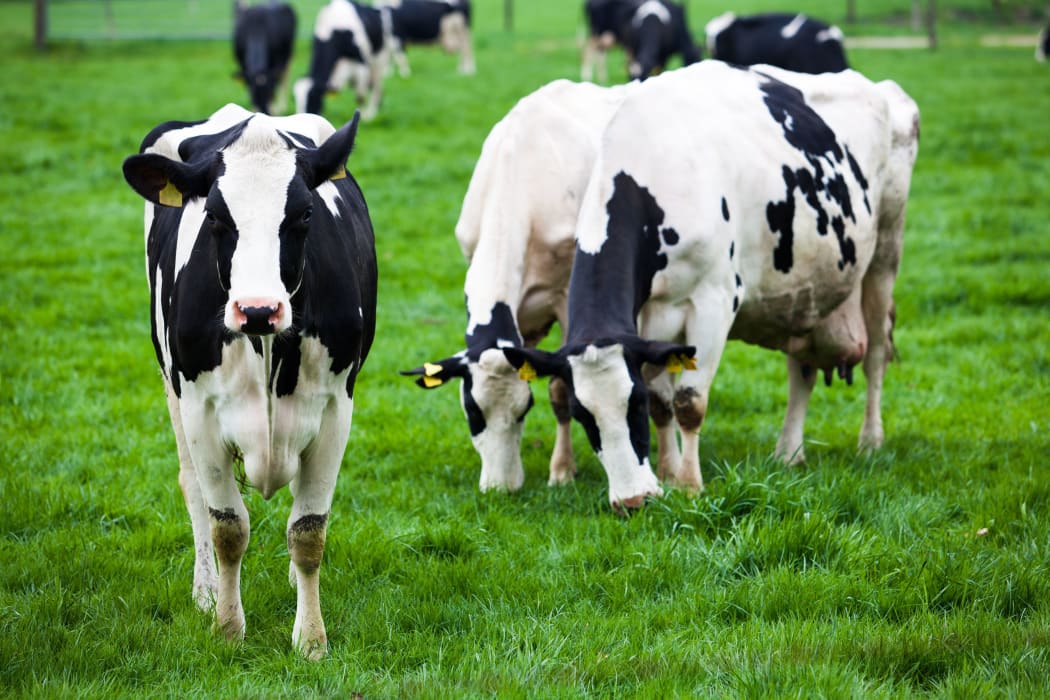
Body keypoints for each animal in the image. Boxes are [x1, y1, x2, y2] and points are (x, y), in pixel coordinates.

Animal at [121, 103, 378, 659]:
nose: (258, 309)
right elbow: (228, 527)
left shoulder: (335, 409)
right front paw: (227, 627)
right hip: (170, 385)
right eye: (216, 217)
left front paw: (311, 639)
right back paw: (204, 590)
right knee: (191, 486)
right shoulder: (199, 410)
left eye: (304, 214)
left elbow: (308, 531)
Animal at [402, 80, 632, 492]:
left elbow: (560, 387)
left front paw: (561, 470)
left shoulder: (565, 298)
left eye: (525, 408)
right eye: (472, 410)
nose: (501, 487)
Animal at [501, 61, 919, 510]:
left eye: (632, 404)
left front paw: (689, 484)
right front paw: (667, 475)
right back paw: (789, 452)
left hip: (885, 251)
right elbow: (664, 402)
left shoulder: (714, 303)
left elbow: (688, 402)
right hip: (805, 294)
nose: (632, 501)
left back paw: (870, 441)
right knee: (802, 372)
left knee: (876, 354)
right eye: (583, 414)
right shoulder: (646, 320)